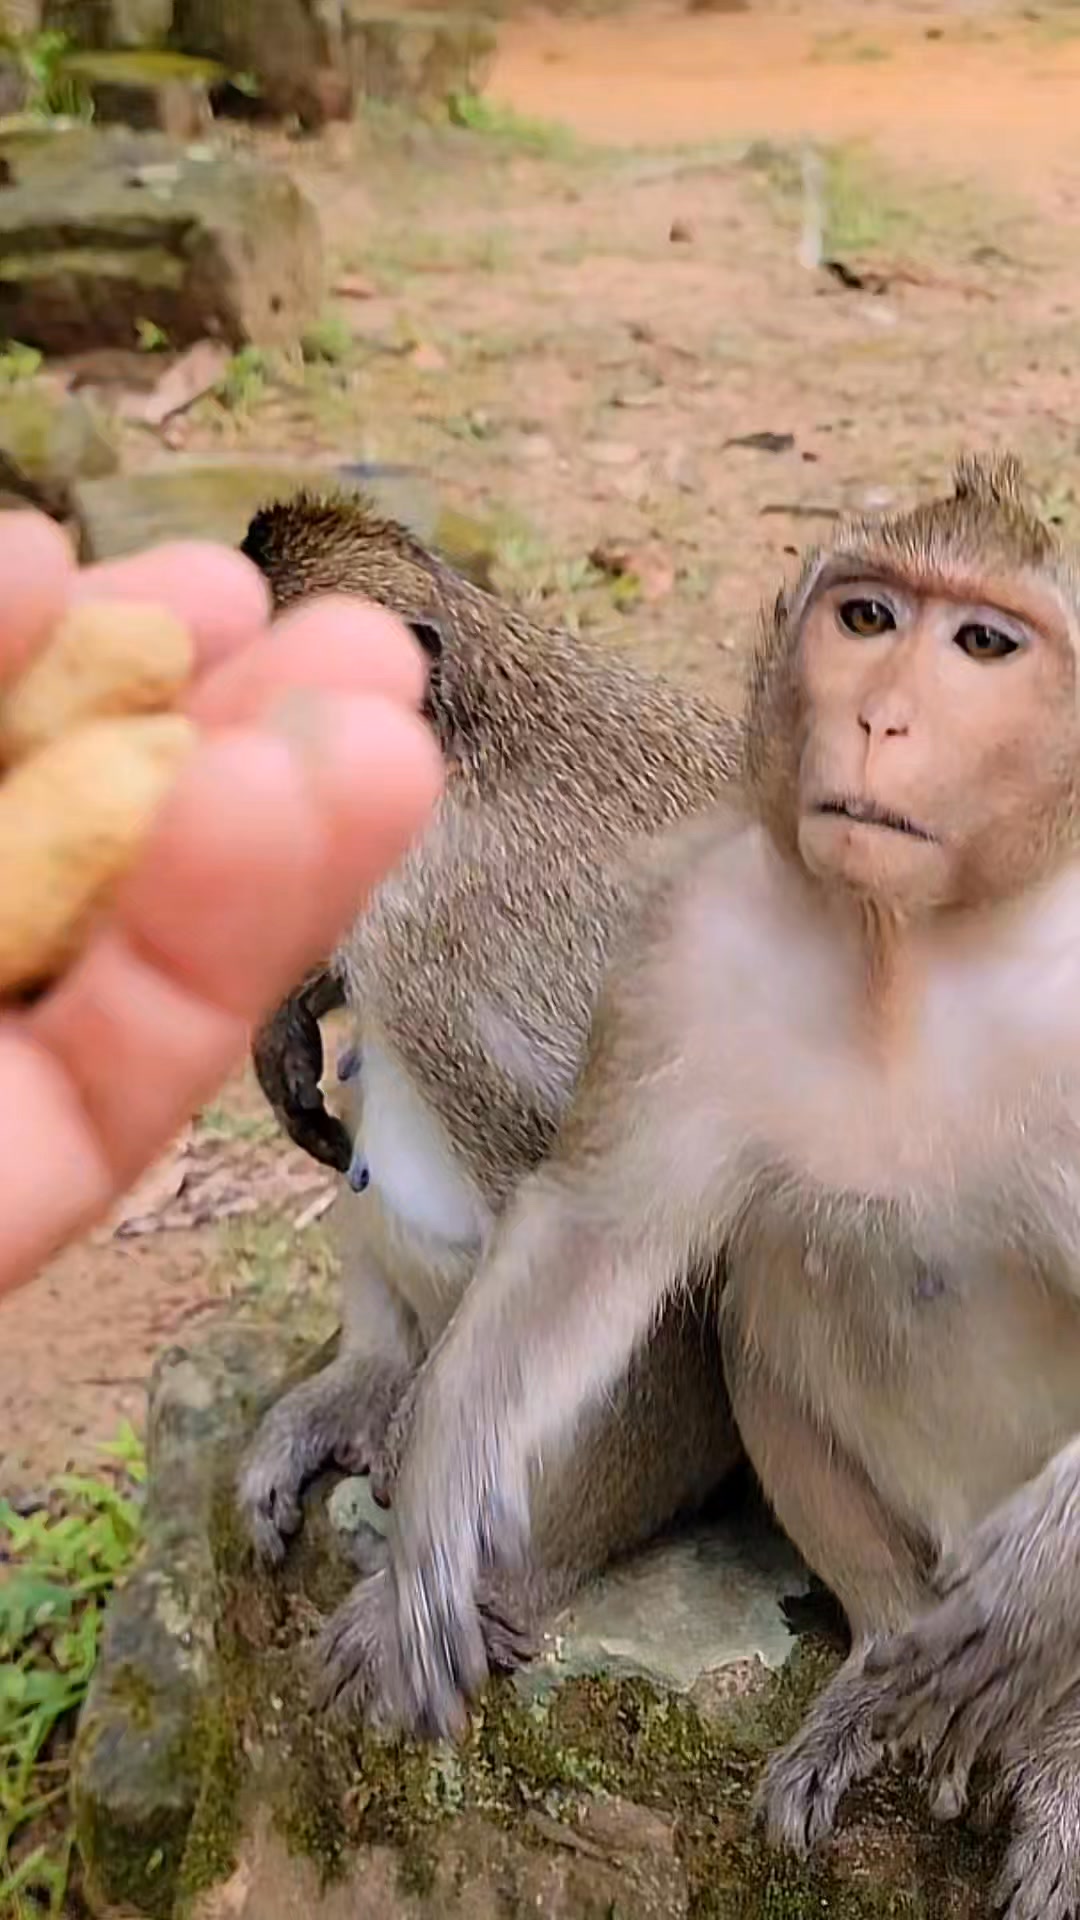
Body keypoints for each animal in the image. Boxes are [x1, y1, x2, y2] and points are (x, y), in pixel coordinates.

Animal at [304, 455, 1080, 1920]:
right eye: (868, 618)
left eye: (986, 645)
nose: (883, 718)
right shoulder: (688, 943)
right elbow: (594, 1229)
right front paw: (434, 1513)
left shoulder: (437, 927)